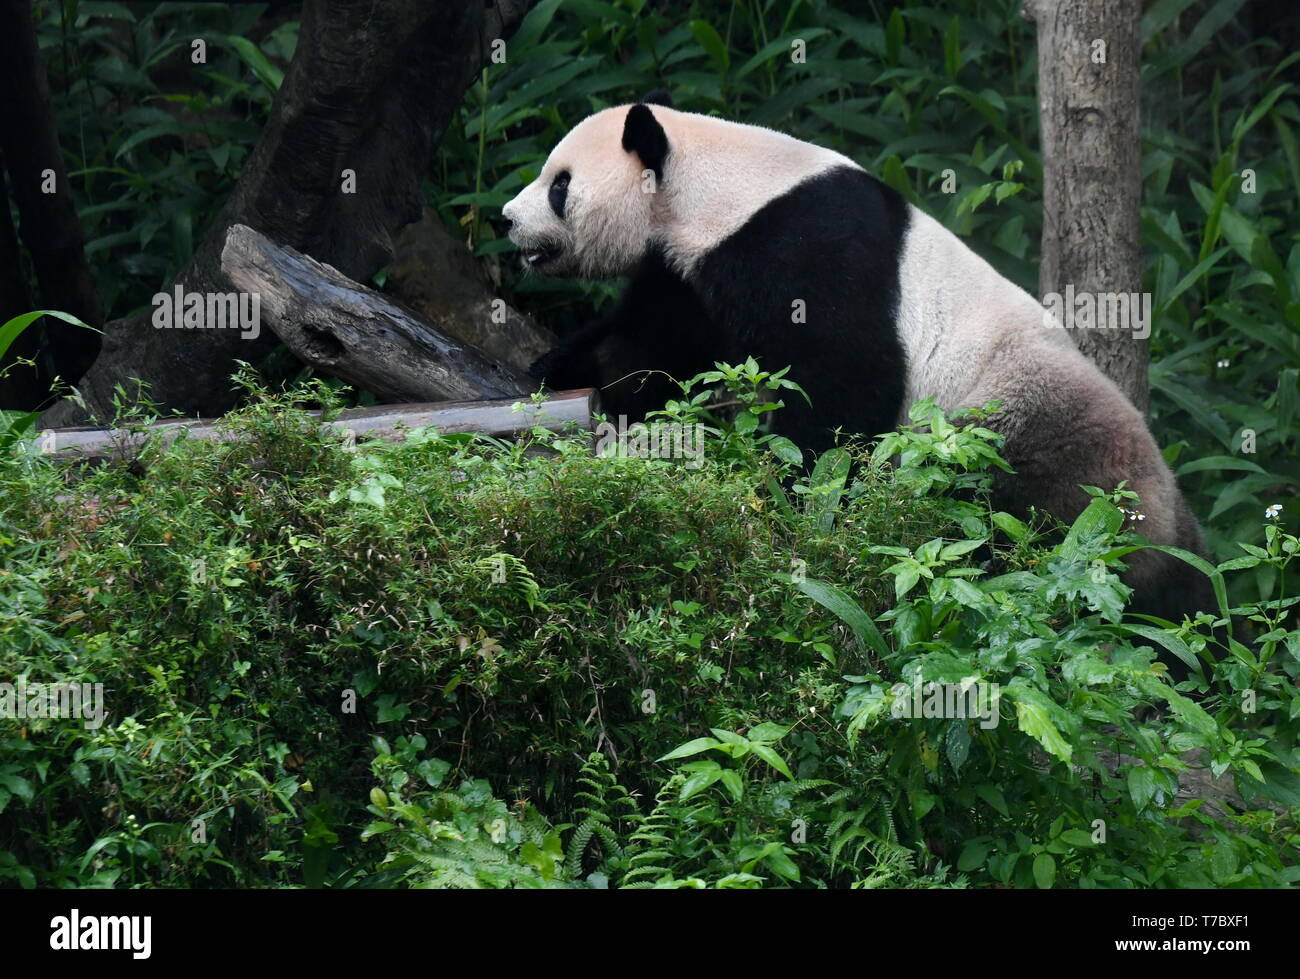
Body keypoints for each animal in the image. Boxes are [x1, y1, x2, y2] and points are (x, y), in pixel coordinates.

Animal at [500, 92, 1213, 631]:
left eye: (559, 184)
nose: (507, 218)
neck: (711, 187)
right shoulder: (686, 275)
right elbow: (645, 350)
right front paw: (553, 377)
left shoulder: (806, 250)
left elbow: (840, 391)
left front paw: (795, 500)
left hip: (1028, 432)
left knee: (1033, 516)